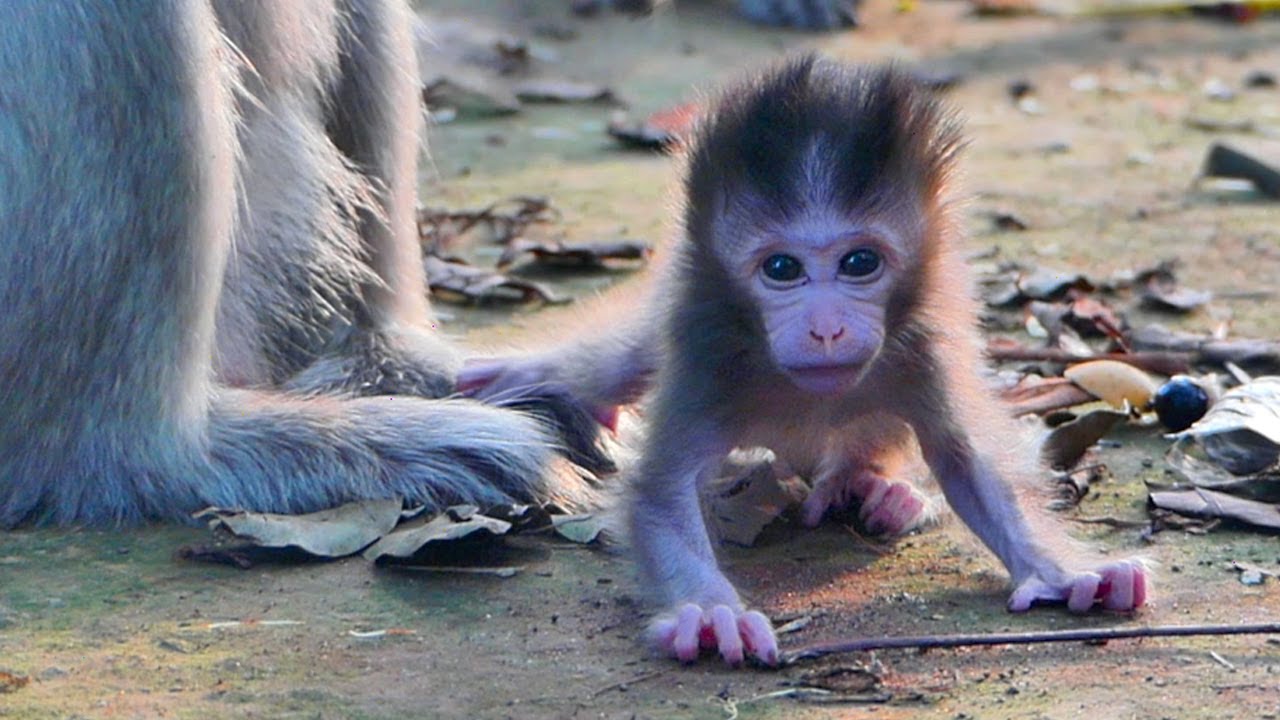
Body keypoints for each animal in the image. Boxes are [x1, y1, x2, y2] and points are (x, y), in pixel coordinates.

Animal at [461, 56, 1149, 666]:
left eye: (859, 263)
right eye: (782, 268)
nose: (825, 329)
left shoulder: (922, 344)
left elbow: (971, 463)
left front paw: (1065, 572)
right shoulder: (703, 339)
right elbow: (662, 489)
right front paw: (712, 613)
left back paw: (880, 490)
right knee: (621, 363)